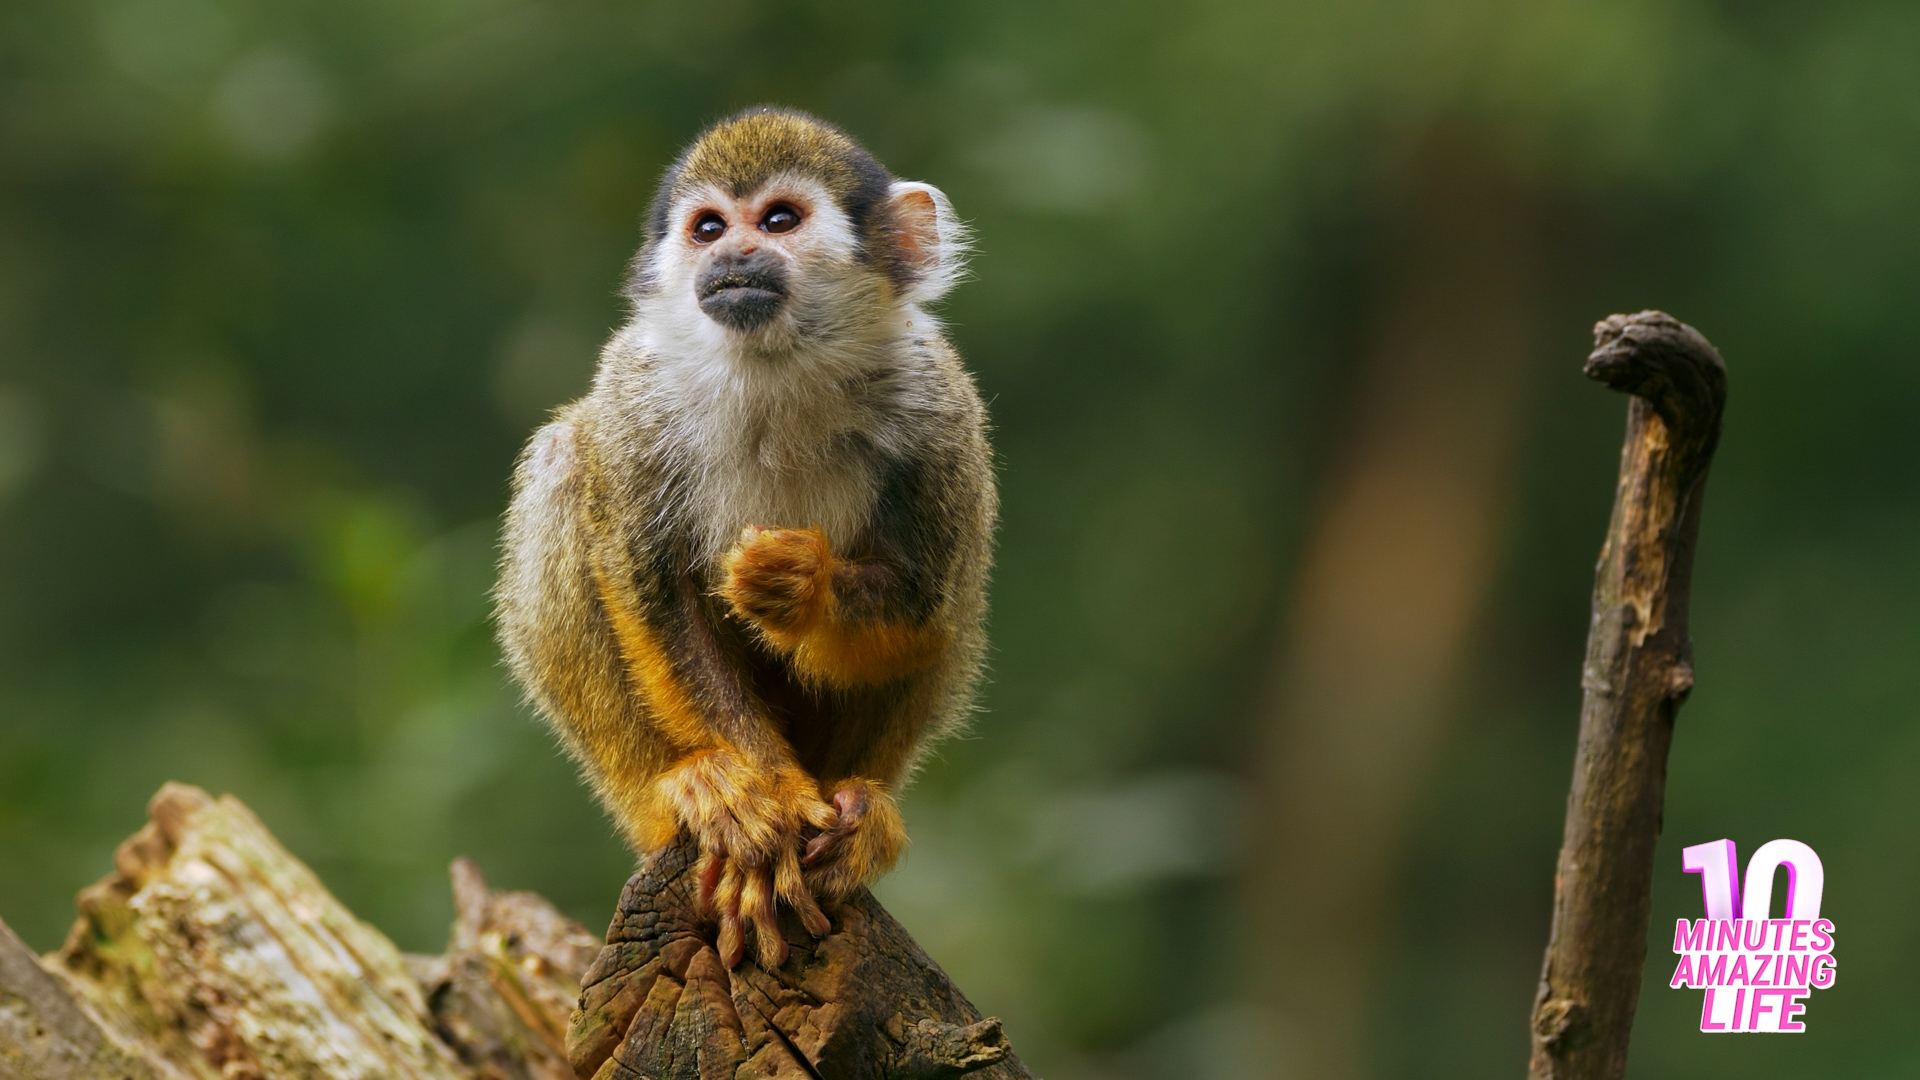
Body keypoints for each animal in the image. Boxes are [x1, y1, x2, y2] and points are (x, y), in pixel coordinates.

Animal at [494, 107, 994, 971]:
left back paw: (859, 811)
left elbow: (925, 608)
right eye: (709, 228)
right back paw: (688, 792)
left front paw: (802, 586)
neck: (776, 363)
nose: (732, 256)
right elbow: (652, 590)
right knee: (566, 464)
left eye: (780, 220)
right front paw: (762, 797)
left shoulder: (939, 405)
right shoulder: (637, 386)